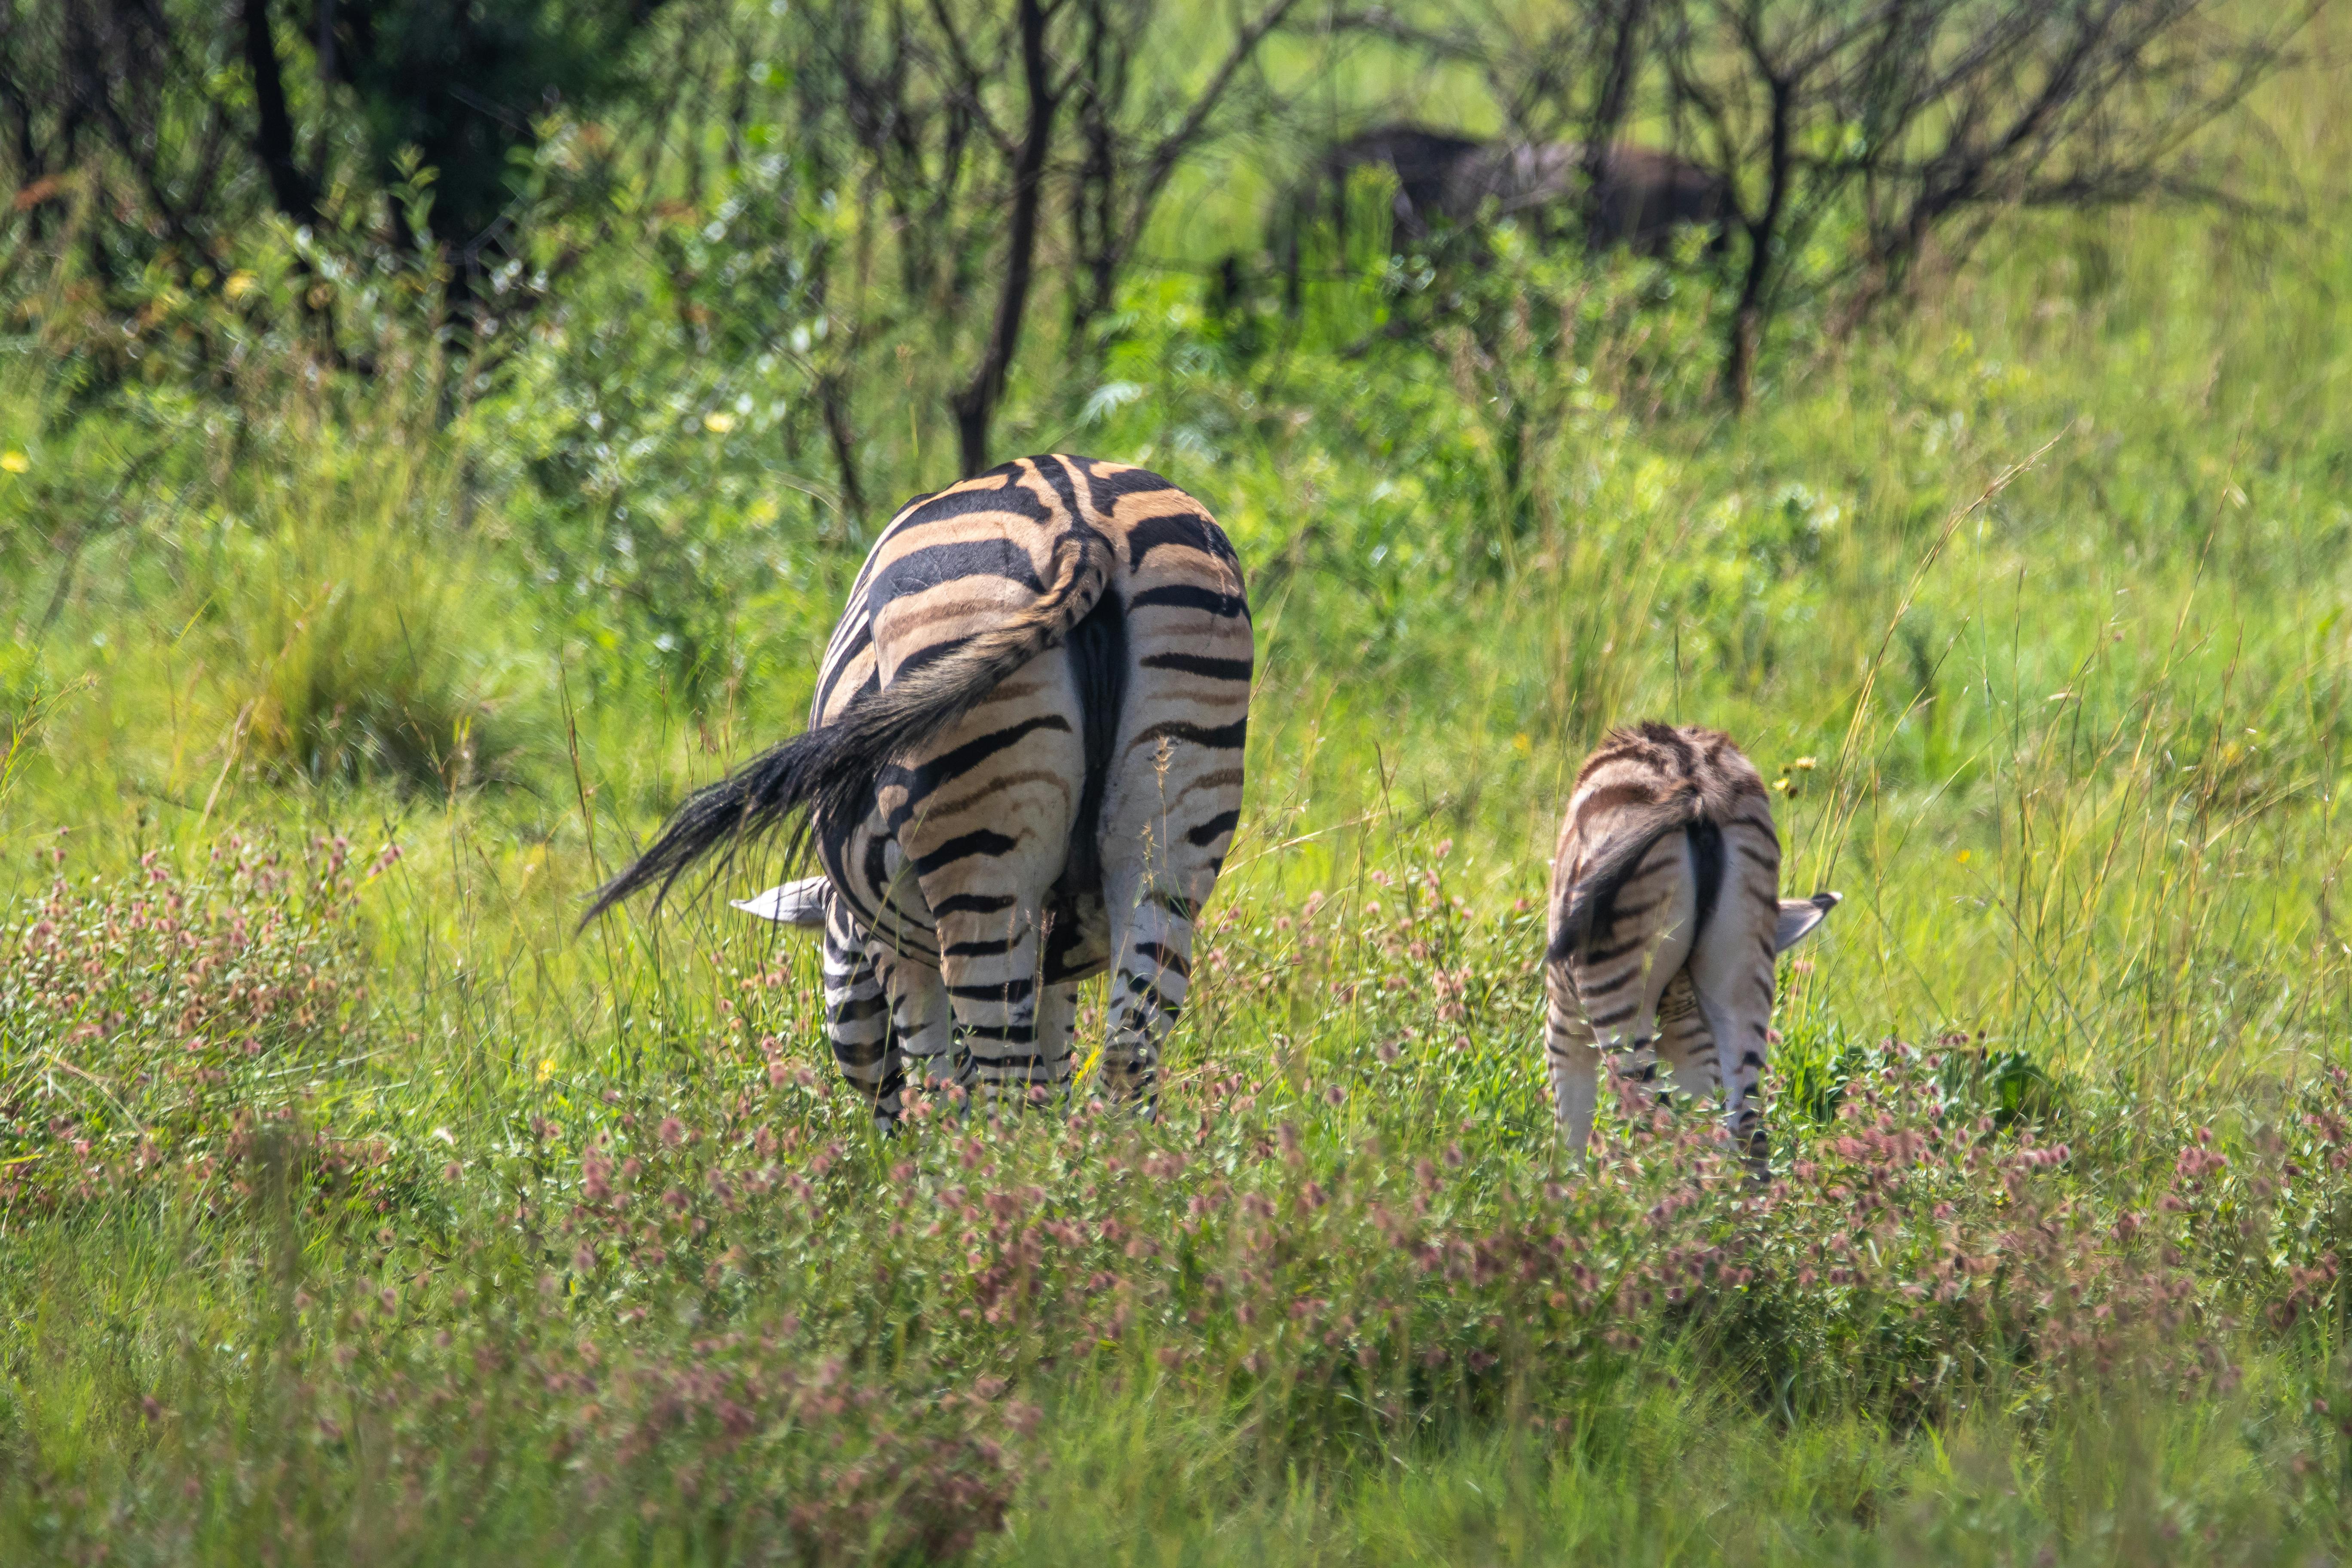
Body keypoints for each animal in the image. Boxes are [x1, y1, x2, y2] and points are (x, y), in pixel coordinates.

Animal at [585, 455, 1252, 1127]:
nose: (887, 1136)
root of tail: (1075, 518)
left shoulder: (890, 939)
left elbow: (939, 1074)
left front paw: (935, 1149)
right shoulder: (1059, 943)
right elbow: (1053, 1059)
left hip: (978, 852)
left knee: (1009, 1080)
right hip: (1171, 828)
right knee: (1125, 1061)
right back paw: (1110, 1159)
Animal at [1544, 722, 1839, 1172]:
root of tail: (1697, 786)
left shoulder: (1565, 1020)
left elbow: (1570, 1136)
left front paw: (1561, 1189)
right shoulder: (1690, 1034)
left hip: (1613, 980)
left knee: (1654, 1123)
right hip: (1741, 969)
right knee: (1747, 1129)